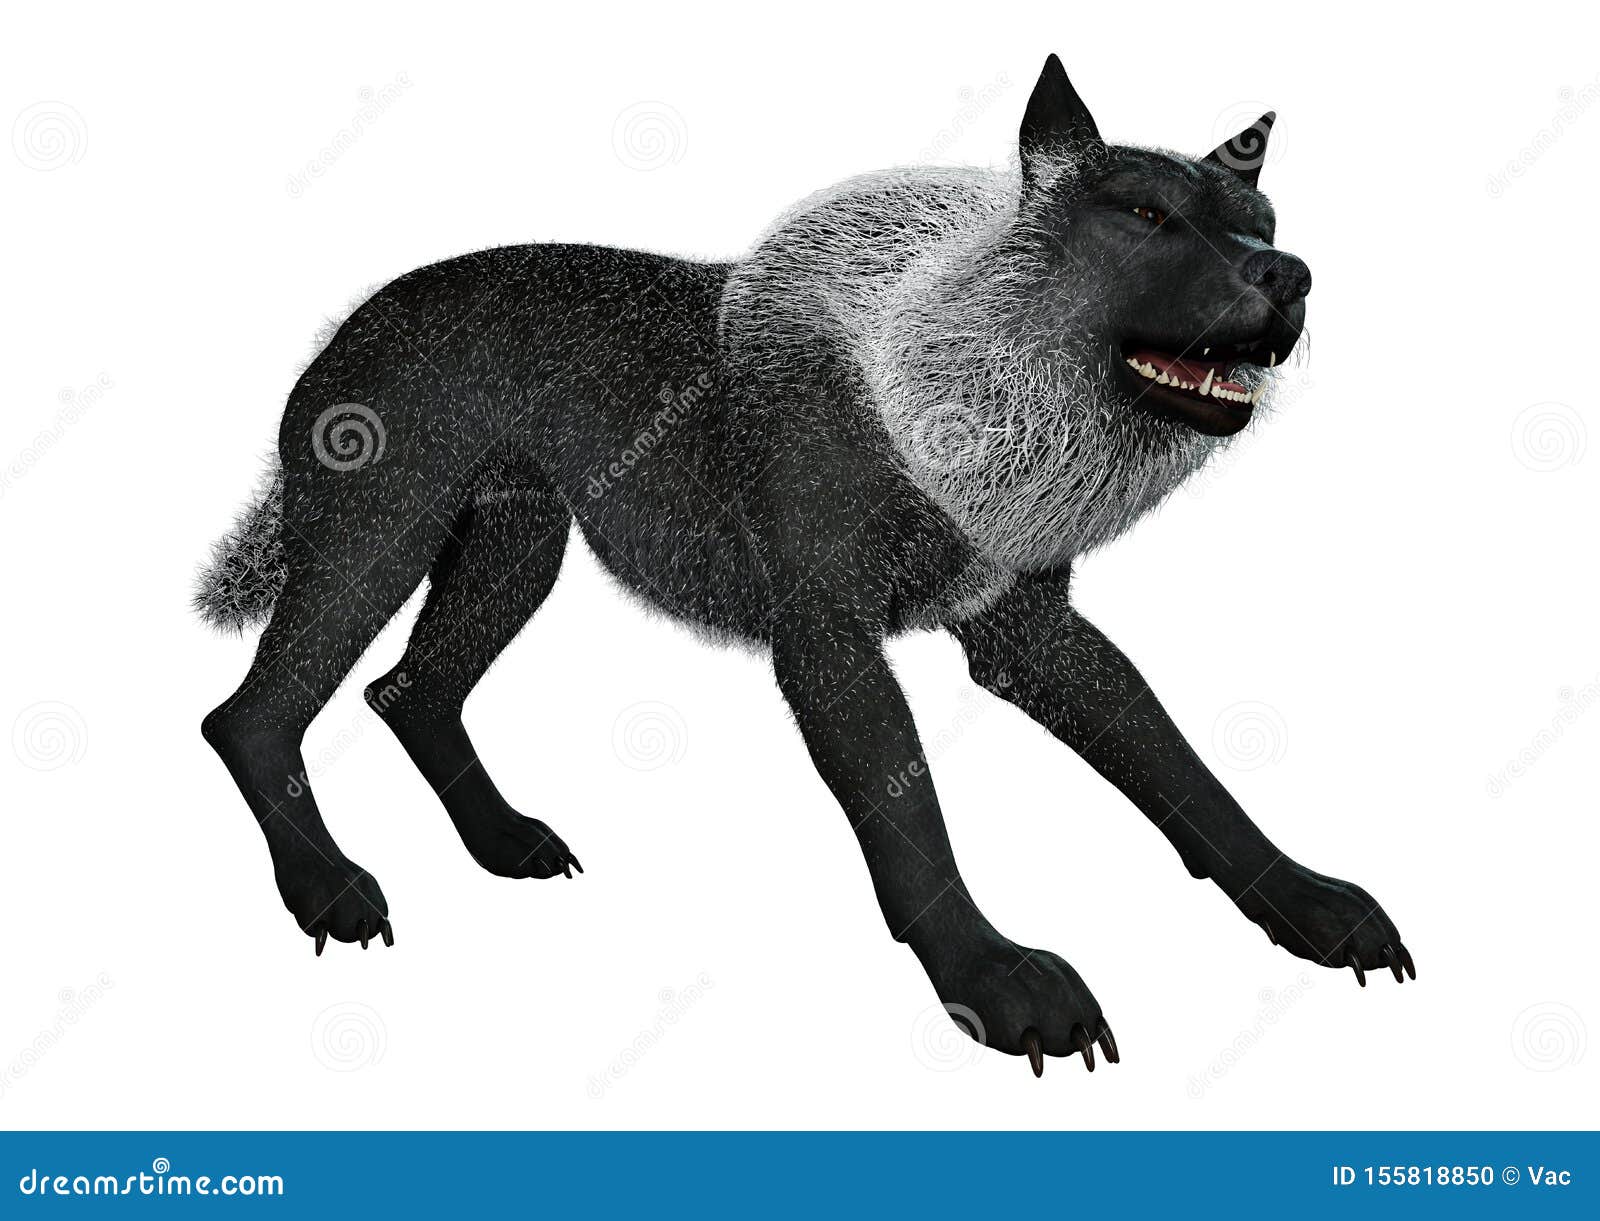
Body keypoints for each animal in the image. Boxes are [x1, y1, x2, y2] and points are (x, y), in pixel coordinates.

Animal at [196, 55, 1412, 1076]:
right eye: (1147, 216)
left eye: (1264, 221)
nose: (1292, 273)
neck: (977, 380)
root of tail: (347, 323)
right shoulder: (831, 639)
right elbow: (912, 818)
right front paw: (994, 978)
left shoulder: (1030, 636)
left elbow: (1184, 770)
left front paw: (1306, 902)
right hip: (380, 540)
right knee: (250, 716)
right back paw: (329, 890)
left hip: (513, 554)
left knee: (409, 690)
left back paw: (502, 841)